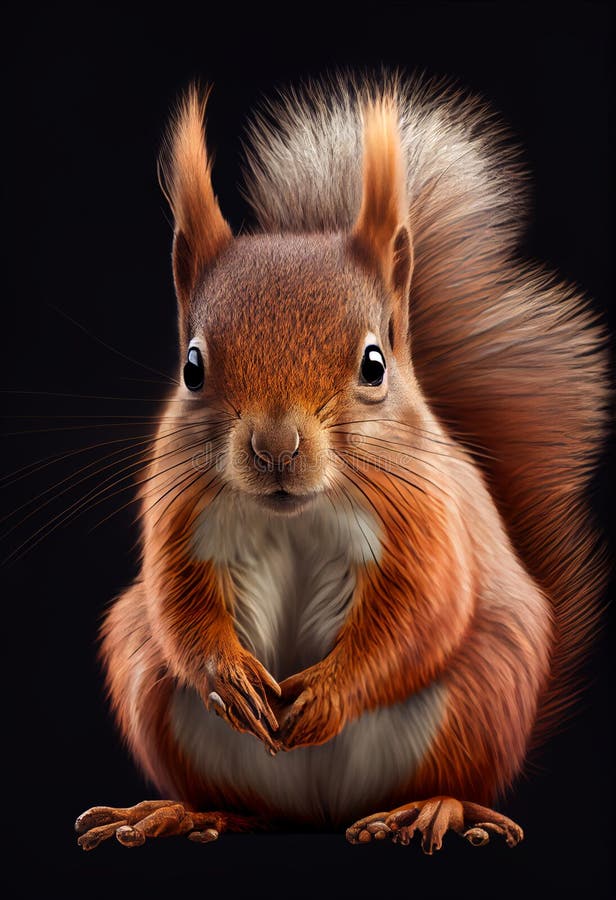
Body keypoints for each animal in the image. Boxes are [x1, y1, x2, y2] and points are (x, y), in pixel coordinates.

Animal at [75, 74, 608, 852]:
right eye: (193, 367)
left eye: (374, 363)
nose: (275, 448)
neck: (293, 513)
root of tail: (319, 812)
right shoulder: (178, 512)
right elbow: (176, 603)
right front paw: (228, 675)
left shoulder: (424, 517)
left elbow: (423, 609)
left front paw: (330, 694)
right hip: (142, 673)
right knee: (233, 790)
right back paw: (184, 812)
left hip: (482, 691)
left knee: (449, 770)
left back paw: (433, 810)